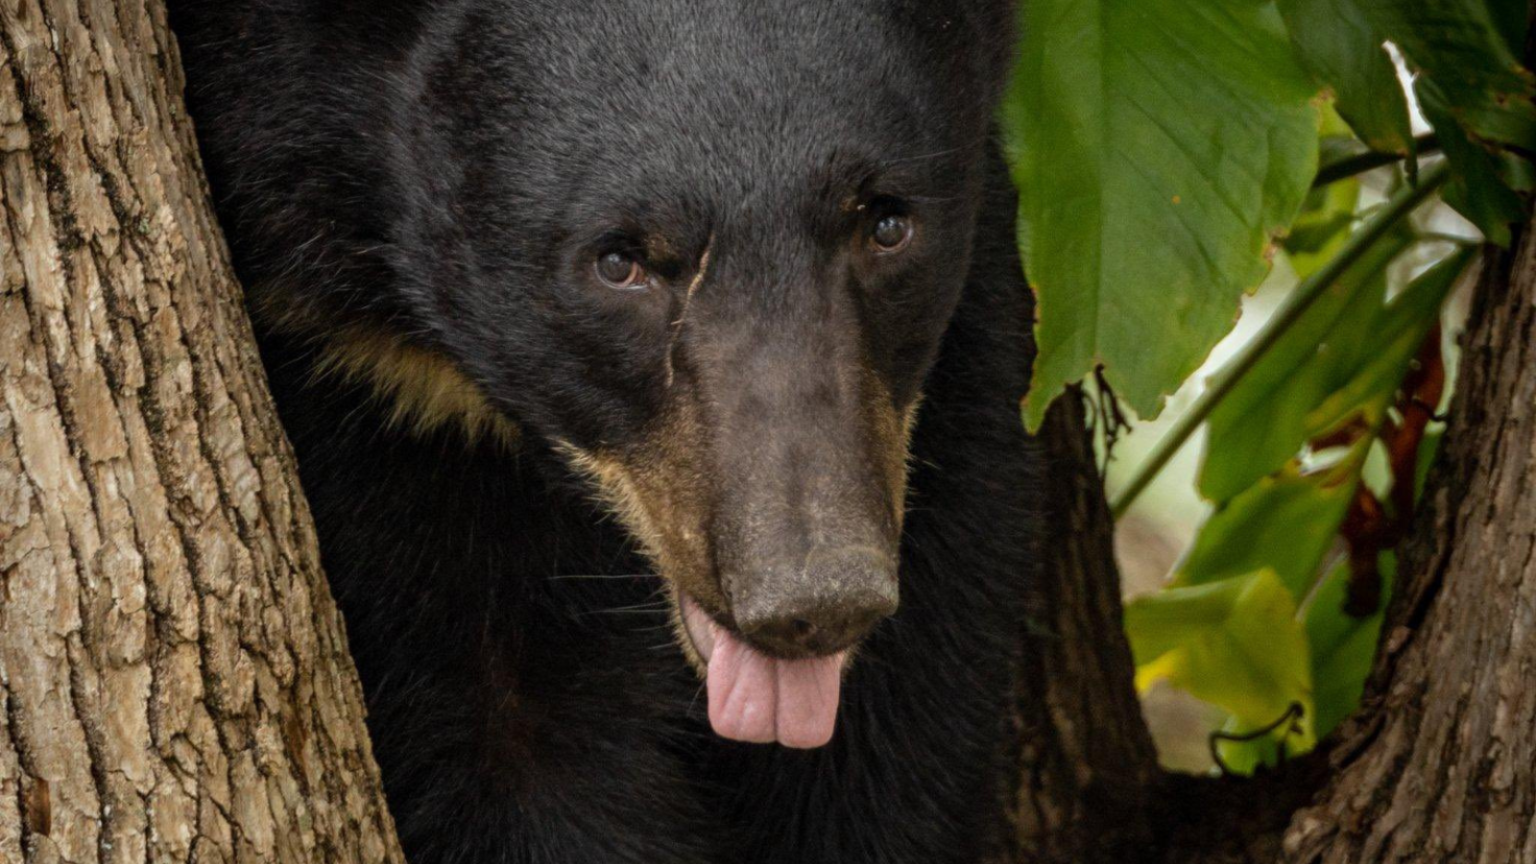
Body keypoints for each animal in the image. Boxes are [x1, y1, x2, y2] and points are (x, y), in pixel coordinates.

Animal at [169, 0, 1040, 861]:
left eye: (888, 223)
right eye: (619, 261)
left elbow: (902, 738)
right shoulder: (367, 398)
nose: (816, 597)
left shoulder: (951, 409)